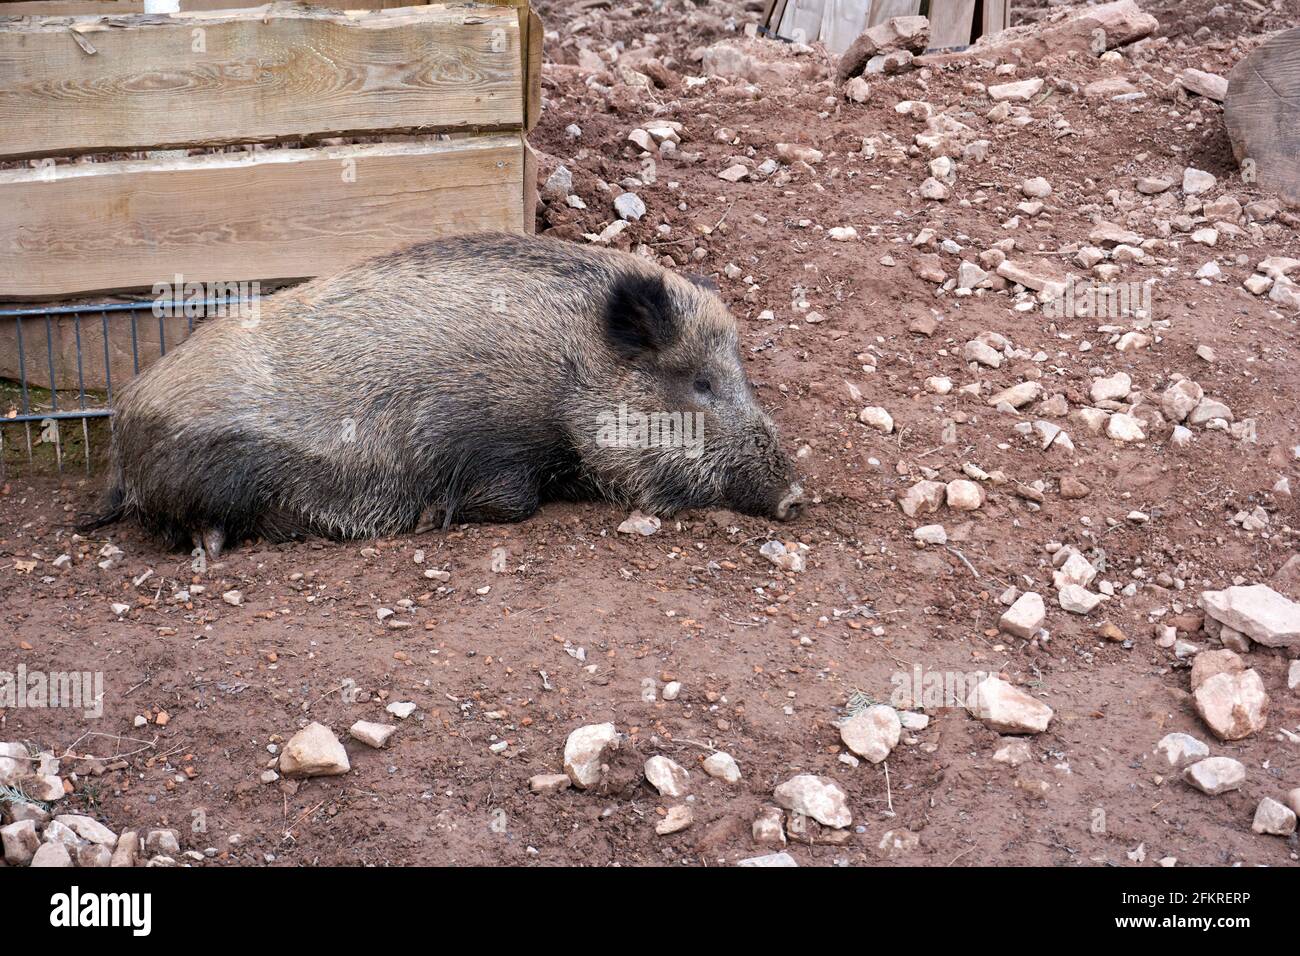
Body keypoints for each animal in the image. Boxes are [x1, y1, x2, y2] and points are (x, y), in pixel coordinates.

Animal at [79, 233, 801, 555]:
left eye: (740, 372)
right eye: (700, 382)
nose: (796, 496)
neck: (567, 372)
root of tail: (126, 414)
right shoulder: (484, 440)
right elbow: (509, 502)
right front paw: (435, 520)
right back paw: (218, 547)